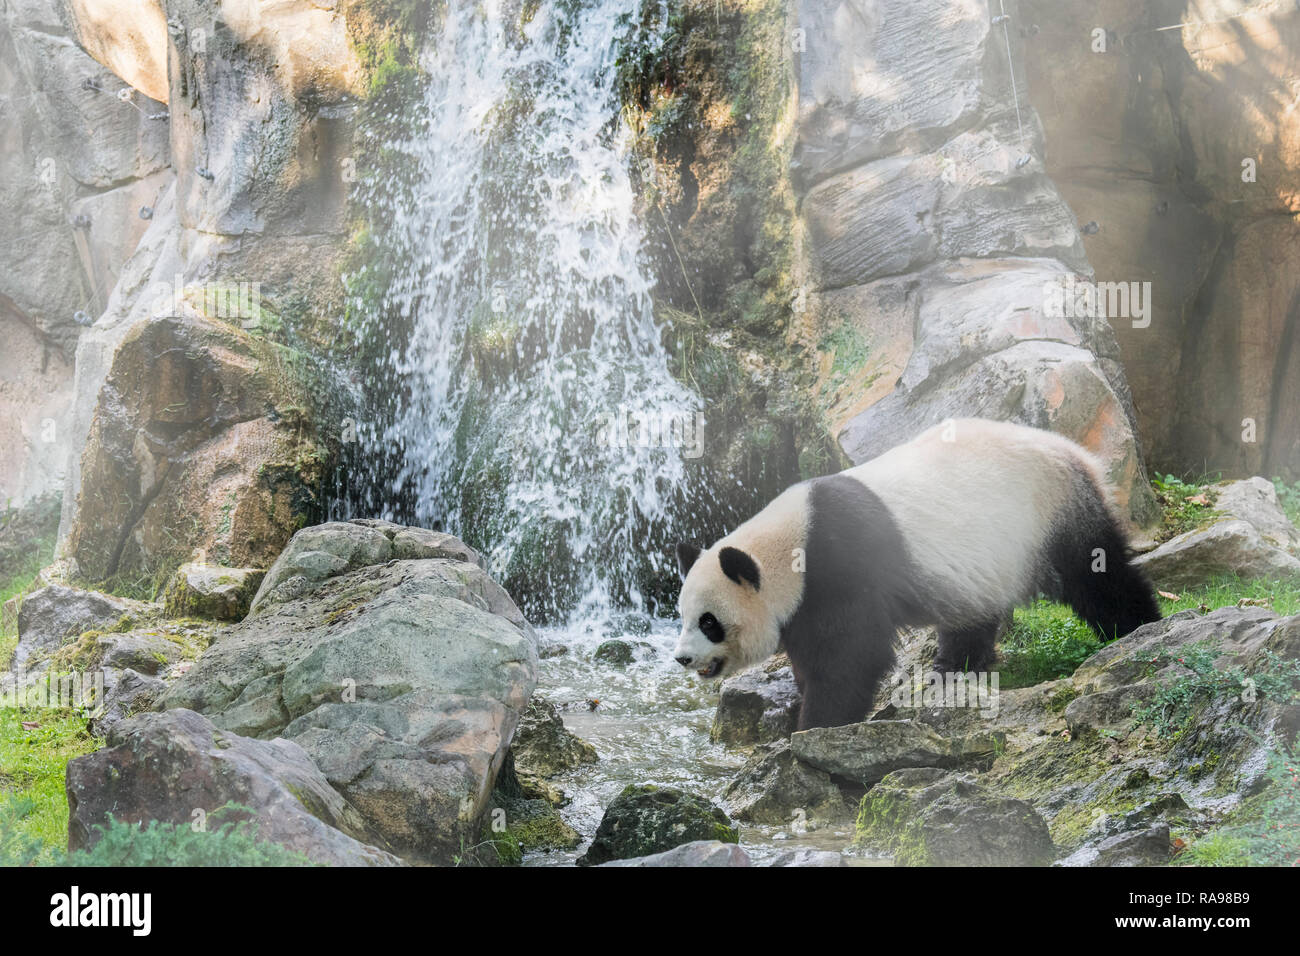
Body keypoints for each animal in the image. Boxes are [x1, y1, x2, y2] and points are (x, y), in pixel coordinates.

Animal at [673, 418, 1160, 730]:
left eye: (709, 622)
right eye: (683, 617)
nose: (682, 659)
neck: (787, 545)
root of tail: (1079, 454)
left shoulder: (839, 566)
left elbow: (851, 656)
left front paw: (814, 725)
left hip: (1049, 509)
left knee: (1096, 576)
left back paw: (1137, 626)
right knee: (974, 611)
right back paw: (955, 665)